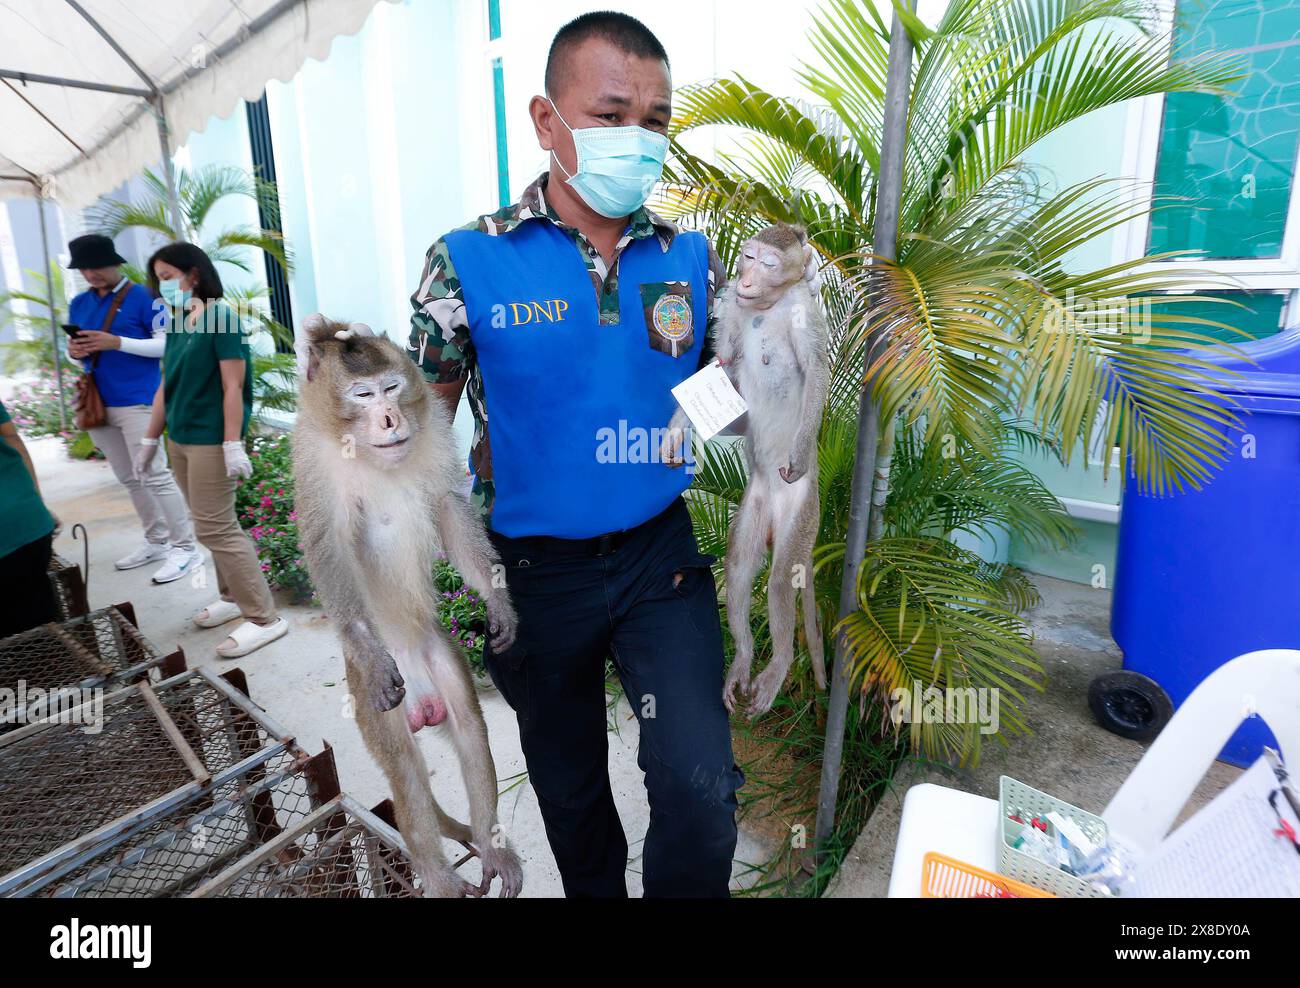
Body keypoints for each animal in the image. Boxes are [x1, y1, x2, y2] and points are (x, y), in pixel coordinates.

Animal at [293, 314, 523, 897]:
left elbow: (447, 507)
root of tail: (421, 698)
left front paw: (497, 600)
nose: (390, 417)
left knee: (469, 727)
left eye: (391, 388)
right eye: (363, 395)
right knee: (405, 766)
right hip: (375, 699)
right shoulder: (314, 465)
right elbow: (330, 546)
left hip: (441, 660)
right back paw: (436, 871)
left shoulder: (435, 438)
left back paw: (488, 841)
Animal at [662, 223, 829, 718]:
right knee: (737, 570)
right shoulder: (734, 310)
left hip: (802, 514)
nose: (747, 278)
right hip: (754, 504)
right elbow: (723, 364)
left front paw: (798, 453)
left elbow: (816, 372)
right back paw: (742, 657)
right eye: (749, 258)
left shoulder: (804, 315)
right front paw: (678, 428)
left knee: (779, 582)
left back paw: (779, 663)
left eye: (767, 263)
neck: (768, 307)